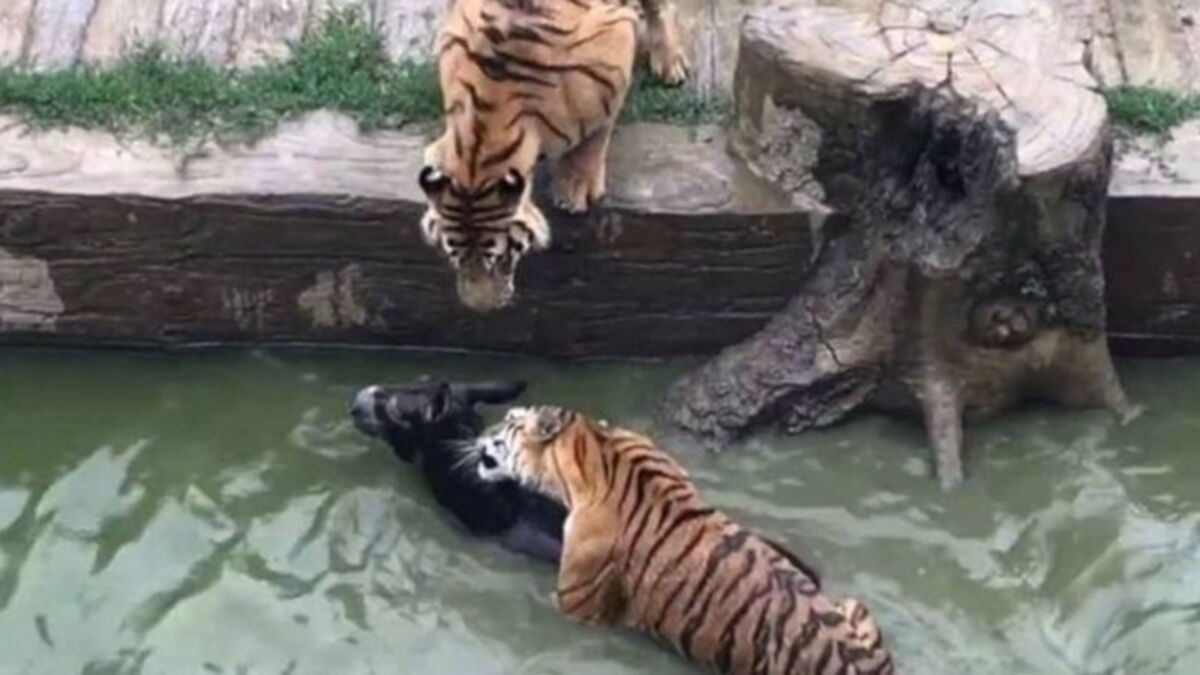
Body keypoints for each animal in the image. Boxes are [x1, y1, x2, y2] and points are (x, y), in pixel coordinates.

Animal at [418, 0, 691, 311]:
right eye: (456, 256)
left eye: (499, 259)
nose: (480, 309)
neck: (482, 139)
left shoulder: (615, 53)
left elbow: (597, 134)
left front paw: (574, 188)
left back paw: (670, 63)